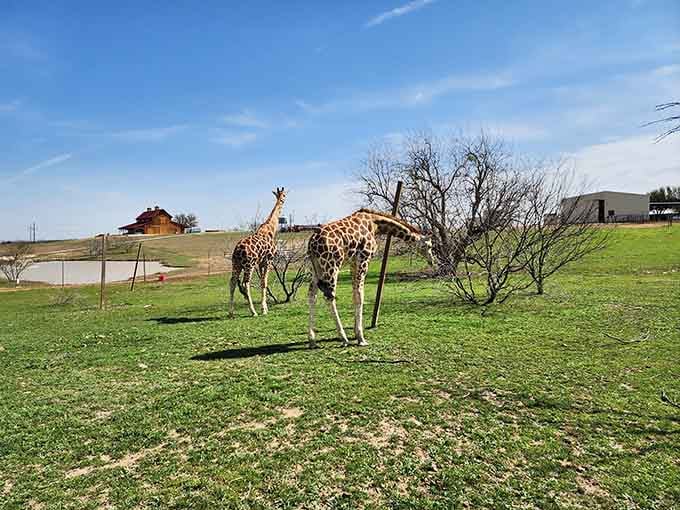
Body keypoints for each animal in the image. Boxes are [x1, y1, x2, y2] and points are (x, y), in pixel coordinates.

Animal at [229, 187, 286, 318]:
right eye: (284, 195)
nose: (283, 199)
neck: (271, 228)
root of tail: (237, 251)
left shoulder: (260, 262)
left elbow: (261, 282)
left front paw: (264, 308)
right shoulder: (268, 260)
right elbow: (264, 282)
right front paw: (263, 310)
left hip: (236, 264)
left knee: (232, 282)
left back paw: (231, 312)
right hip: (249, 265)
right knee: (245, 283)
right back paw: (253, 311)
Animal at [307, 208, 434, 348]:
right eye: (428, 246)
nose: (431, 261)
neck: (375, 224)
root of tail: (311, 244)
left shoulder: (353, 262)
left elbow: (355, 294)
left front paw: (356, 333)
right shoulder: (364, 258)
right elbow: (360, 295)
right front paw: (361, 337)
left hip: (315, 268)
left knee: (312, 295)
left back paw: (312, 340)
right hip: (332, 265)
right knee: (329, 297)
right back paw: (343, 338)